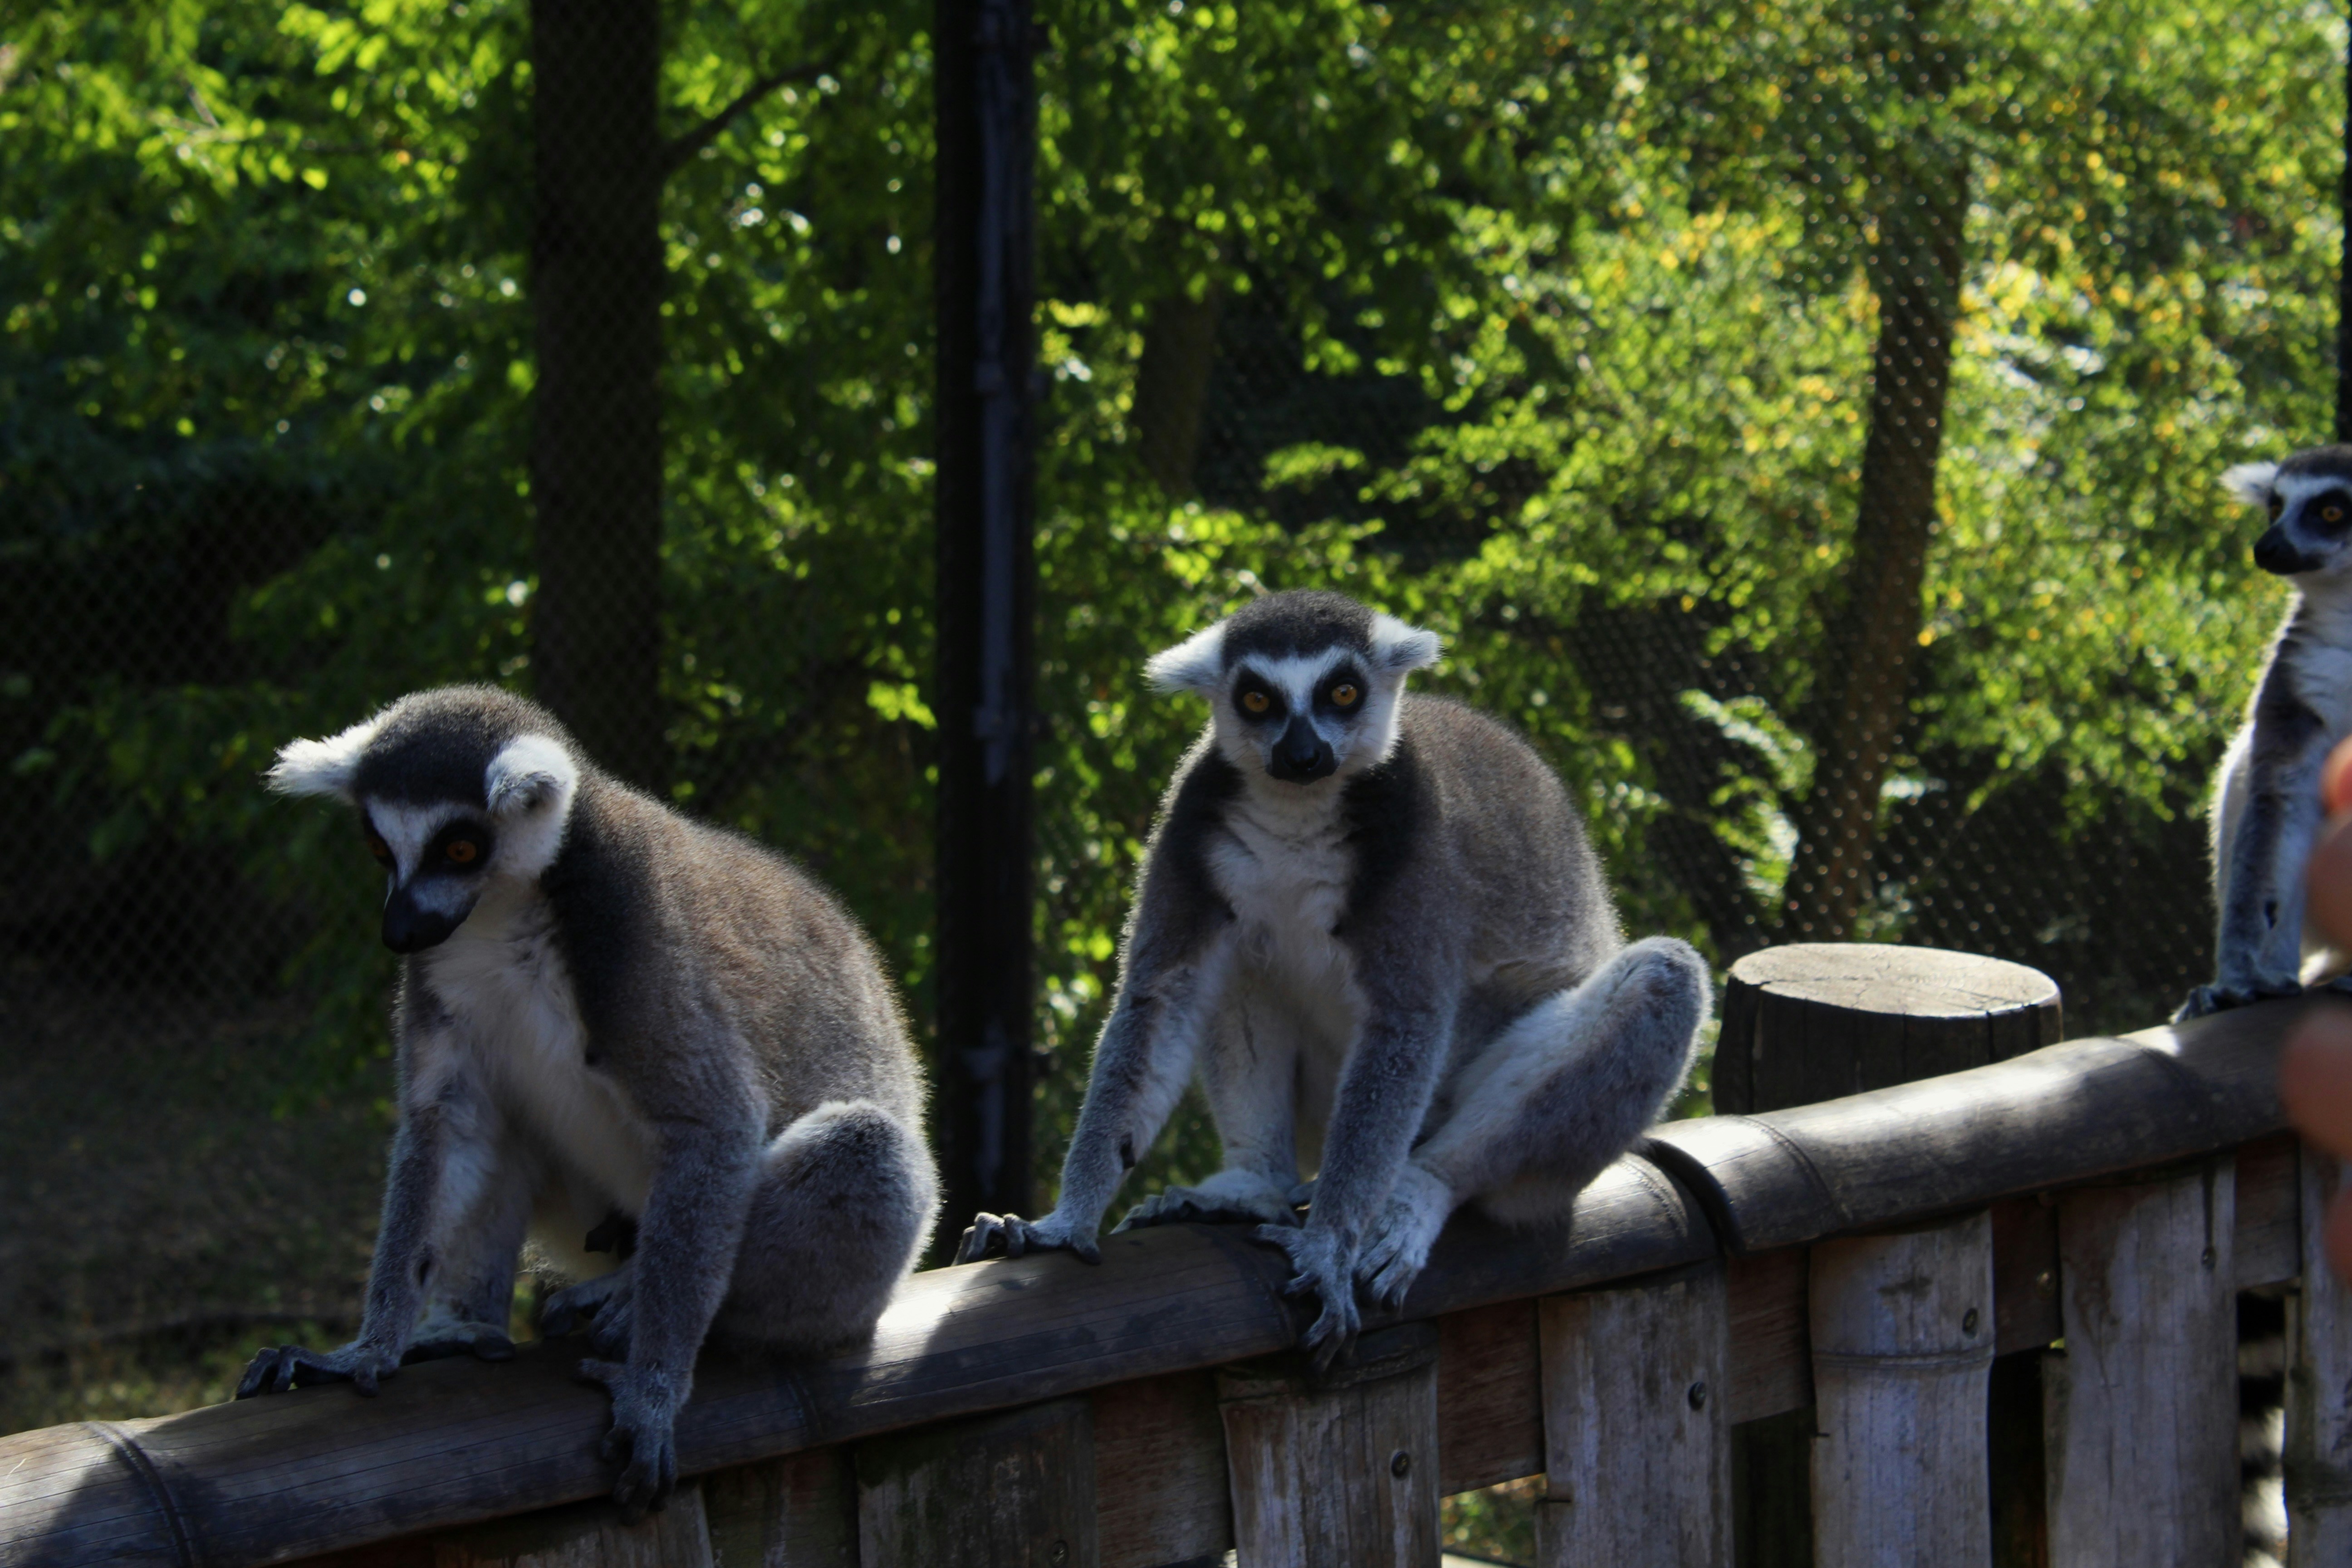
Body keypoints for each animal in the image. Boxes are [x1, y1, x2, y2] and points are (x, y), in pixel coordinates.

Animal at [234, 686, 937, 1517]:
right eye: (380, 848)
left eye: (460, 849)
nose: (400, 930)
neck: (504, 912)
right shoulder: (442, 976)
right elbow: (449, 1127)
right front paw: (370, 1349)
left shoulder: (638, 944)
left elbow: (713, 1127)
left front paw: (652, 1395)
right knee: (505, 1131)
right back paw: (463, 1330)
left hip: (857, 1285)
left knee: (862, 1150)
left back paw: (630, 1297)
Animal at [958, 590, 1708, 1365]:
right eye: (1257, 699)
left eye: (1342, 693)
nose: (1302, 754)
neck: (1297, 815)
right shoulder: (1193, 820)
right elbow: (1162, 997)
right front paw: (1062, 1224)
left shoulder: (1417, 850)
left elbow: (1404, 1027)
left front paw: (1327, 1252)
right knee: (1244, 967)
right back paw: (1253, 1183)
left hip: (1493, 1126)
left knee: (1662, 980)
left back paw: (1418, 1189)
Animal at [2179, 446, 2352, 1020]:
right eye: (2275, 506)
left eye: (2331, 512)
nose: (2267, 547)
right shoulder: (2299, 677)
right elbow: (2281, 798)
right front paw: (2243, 978)